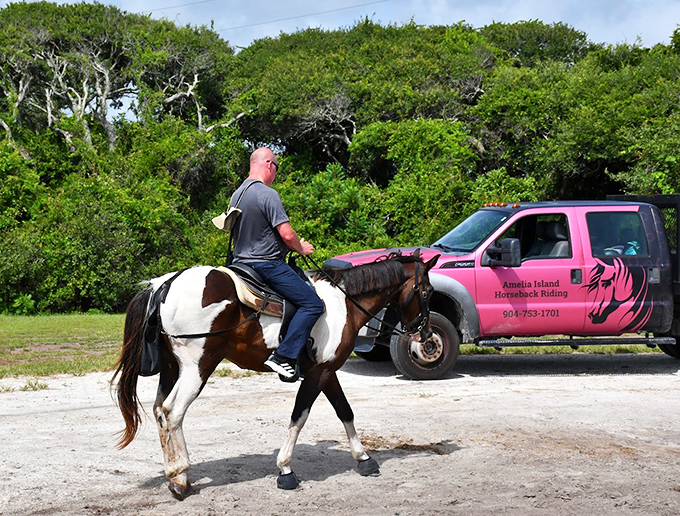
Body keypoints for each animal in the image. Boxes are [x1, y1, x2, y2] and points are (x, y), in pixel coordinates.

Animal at [112, 250, 439, 499]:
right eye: (427, 292)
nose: (424, 334)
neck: (344, 303)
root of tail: (163, 285)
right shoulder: (318, 374)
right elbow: (299, 416)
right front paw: (285, 469)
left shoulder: (326, 370)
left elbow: (345, 411)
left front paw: (364, 459)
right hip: (198, 367)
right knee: (172, 413)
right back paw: (179, 478)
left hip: (170, 369)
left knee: (159, 411)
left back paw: (176, 476)